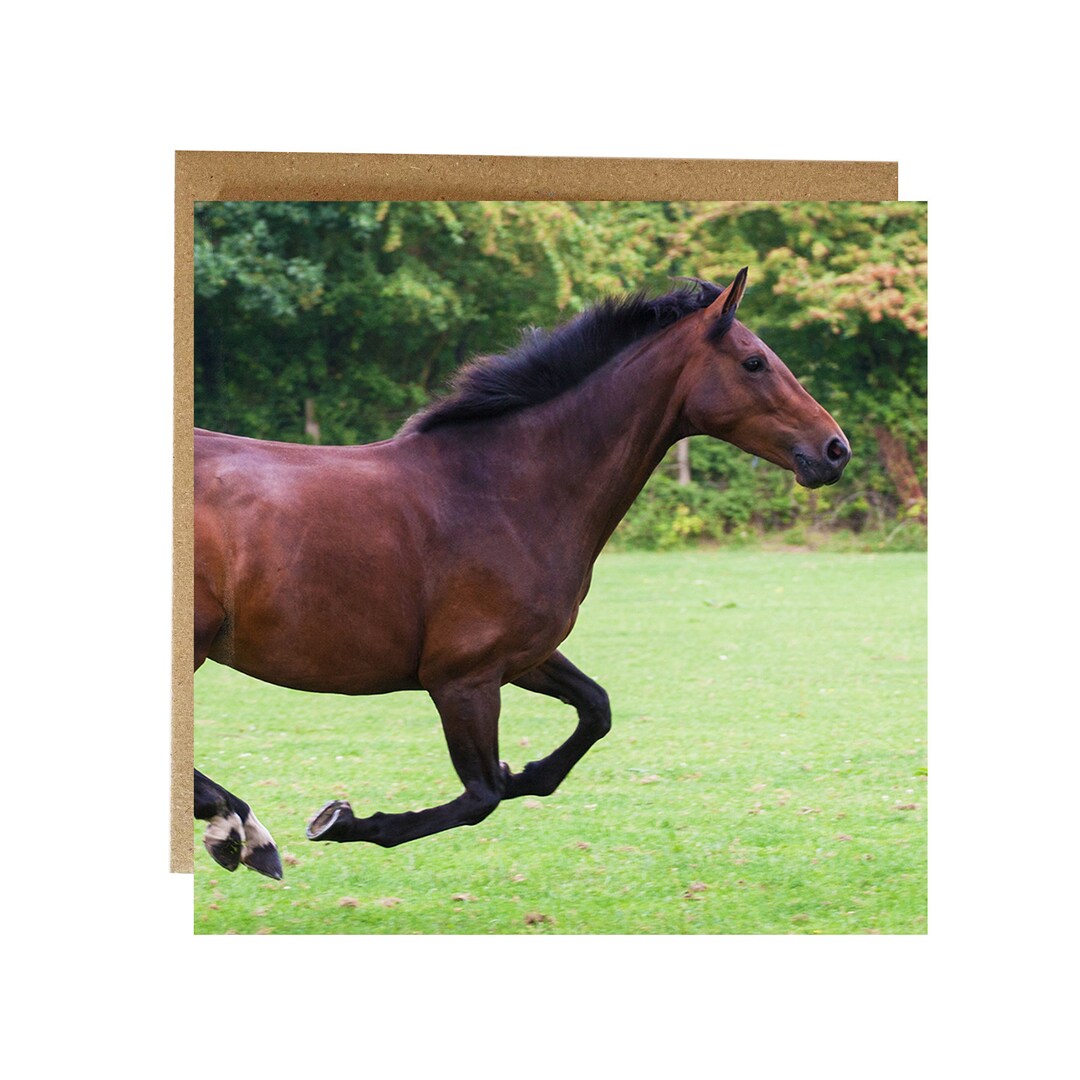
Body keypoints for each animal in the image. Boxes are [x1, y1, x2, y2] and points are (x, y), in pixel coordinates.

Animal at [193, 269, 850, 878]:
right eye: (754, 362)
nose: (835, 449)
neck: (506, 491)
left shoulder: (523, 658)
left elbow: (594, 712)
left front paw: (529, 772)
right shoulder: (463, 679)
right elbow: (481, 795)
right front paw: (342, 821)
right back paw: (241, 830)